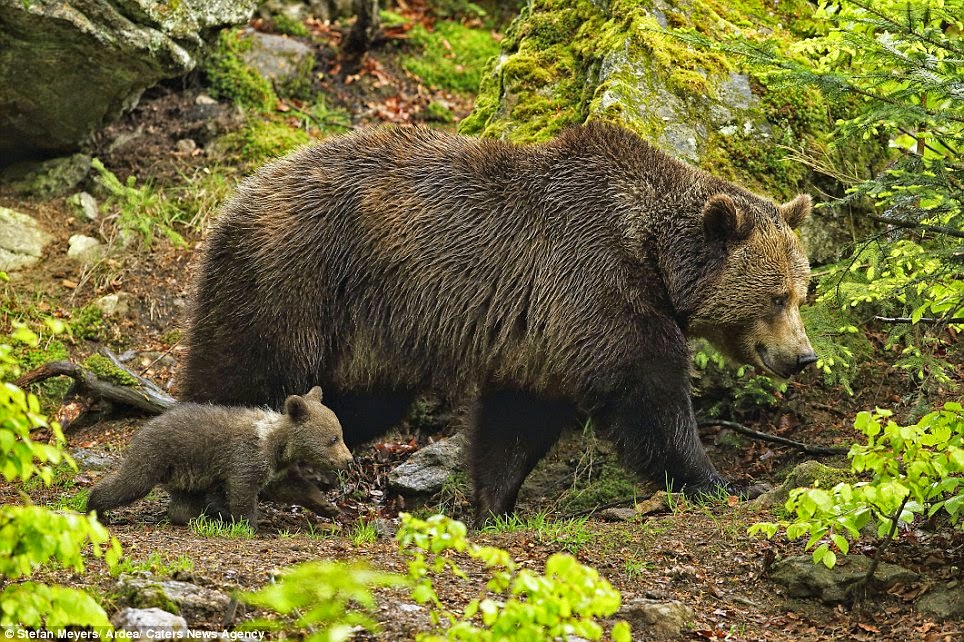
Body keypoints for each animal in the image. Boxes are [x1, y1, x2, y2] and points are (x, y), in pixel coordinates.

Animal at [86, 387, 353, 529]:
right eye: (333, 438)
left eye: (340, 434)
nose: (348, 459)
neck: (276, 445)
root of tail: (145, 426)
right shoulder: (246, 457)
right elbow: (243, 491)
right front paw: (252, 524)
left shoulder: (276, 470)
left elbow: (293, 488)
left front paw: (328, 507)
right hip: (156, 456)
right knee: (131, 483)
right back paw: (96, 508)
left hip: (186, 473)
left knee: (184, 503)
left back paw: (200, 515)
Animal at [178, 122, 816, 518]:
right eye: (777, 297)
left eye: (802, 291)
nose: (804, 356)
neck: (654, 255)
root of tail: (238, 194)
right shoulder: (599, 287)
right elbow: (649, 397)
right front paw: (725, 482)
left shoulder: (546, 335)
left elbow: (518, 419)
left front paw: (495, 504)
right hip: (296, 279)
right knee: (245, 371)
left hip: (365, 337)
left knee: (353, 405)